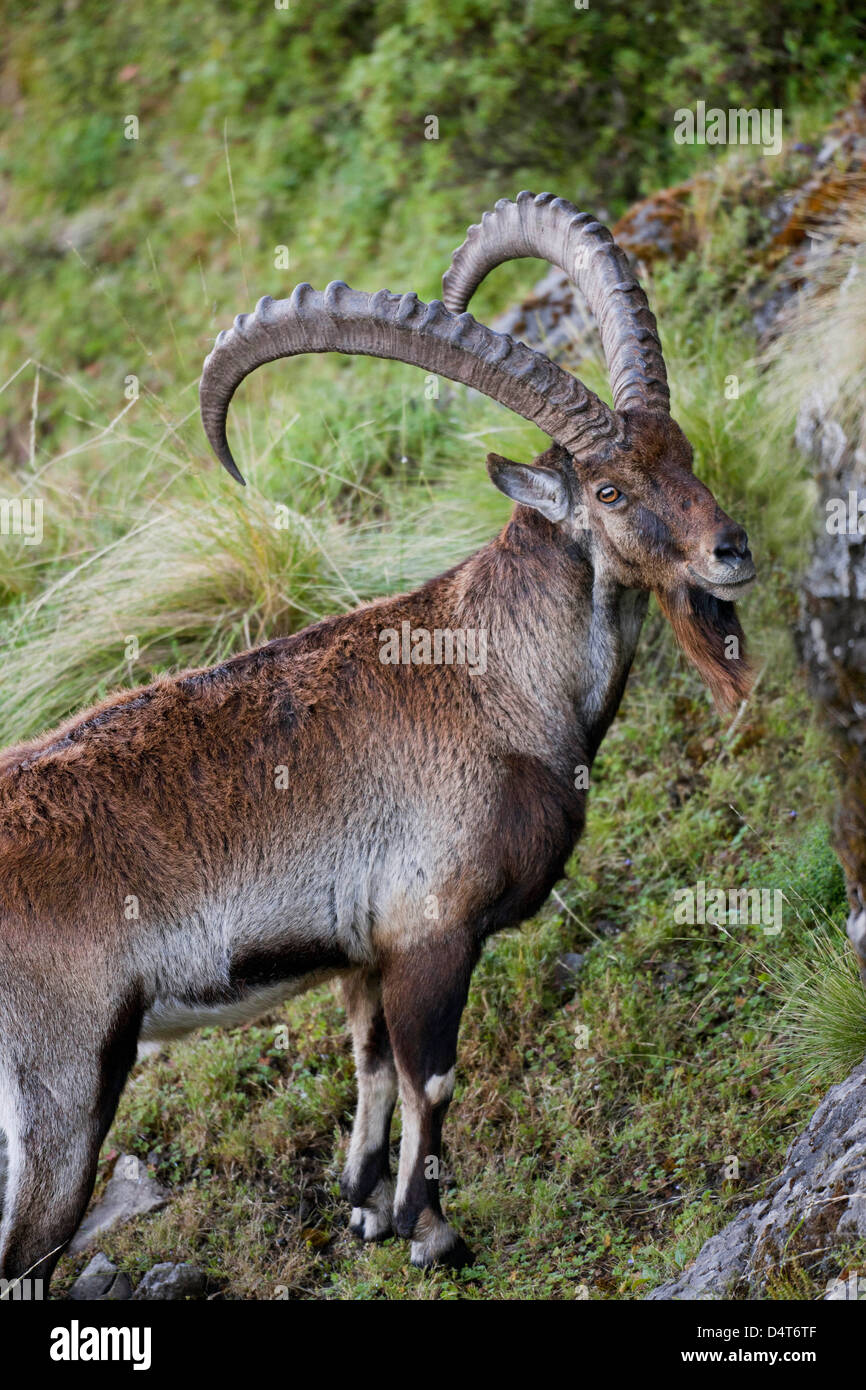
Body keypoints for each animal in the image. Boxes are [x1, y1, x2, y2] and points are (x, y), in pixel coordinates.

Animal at [0, 192, 755, 1288]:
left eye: (685, 454)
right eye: (610, 491)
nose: (729, 551)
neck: (493, 680)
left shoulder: (363, 949)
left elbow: (369, 1068)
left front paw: (361, 1208)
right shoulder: (431, 931)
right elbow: (430, 1078)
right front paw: (432, 1234)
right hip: (62, 1087)